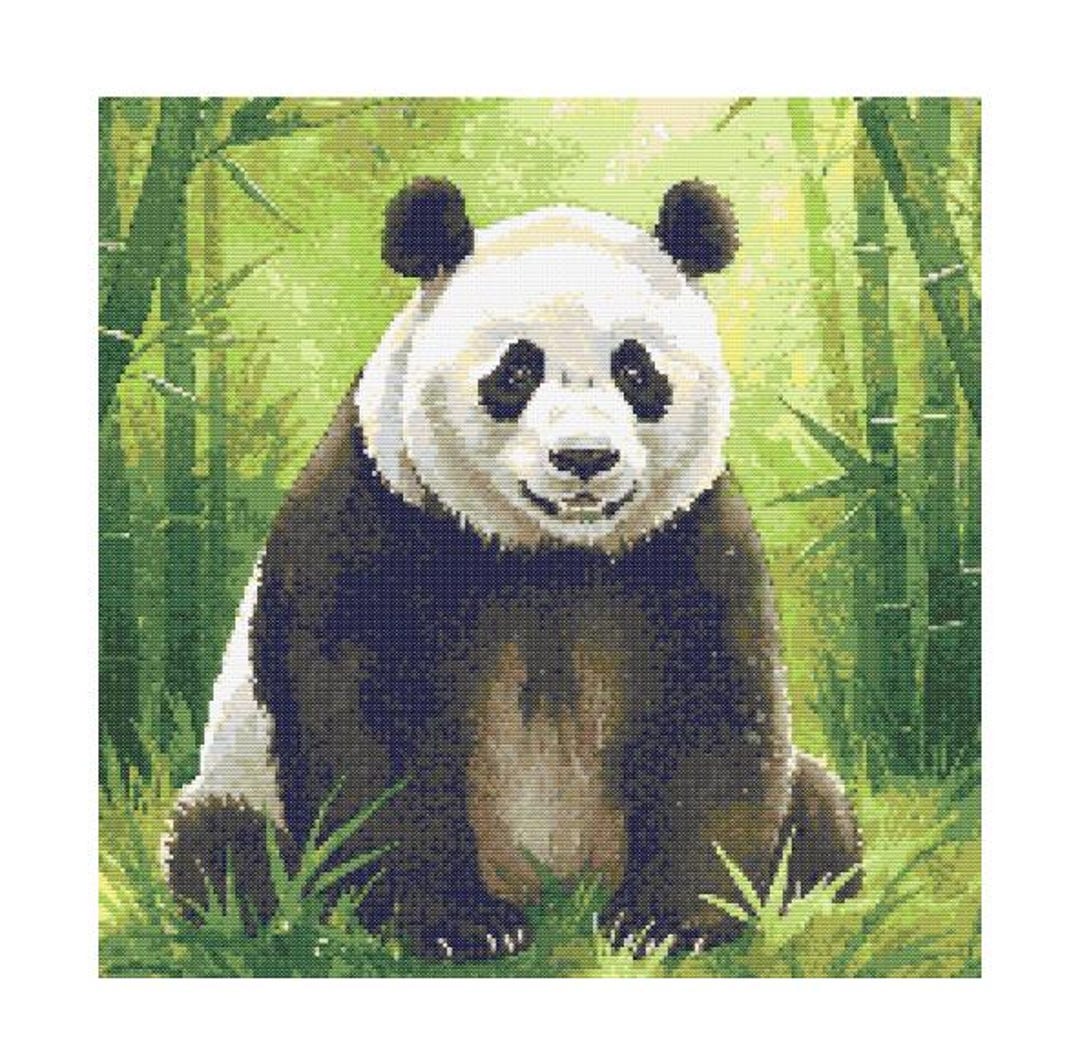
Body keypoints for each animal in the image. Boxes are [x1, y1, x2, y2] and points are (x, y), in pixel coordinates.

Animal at [165, 177, 862, 960]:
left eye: (634, 370)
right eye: (517, 370)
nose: (585, 458)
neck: (551, 554)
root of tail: (554, 886)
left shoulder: (686, 539)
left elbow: (714, 713)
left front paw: (667, 921)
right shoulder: (375, 513)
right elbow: (370, 723)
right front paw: (459, 924)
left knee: (823, 812)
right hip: (243, 784)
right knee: (223, 844)